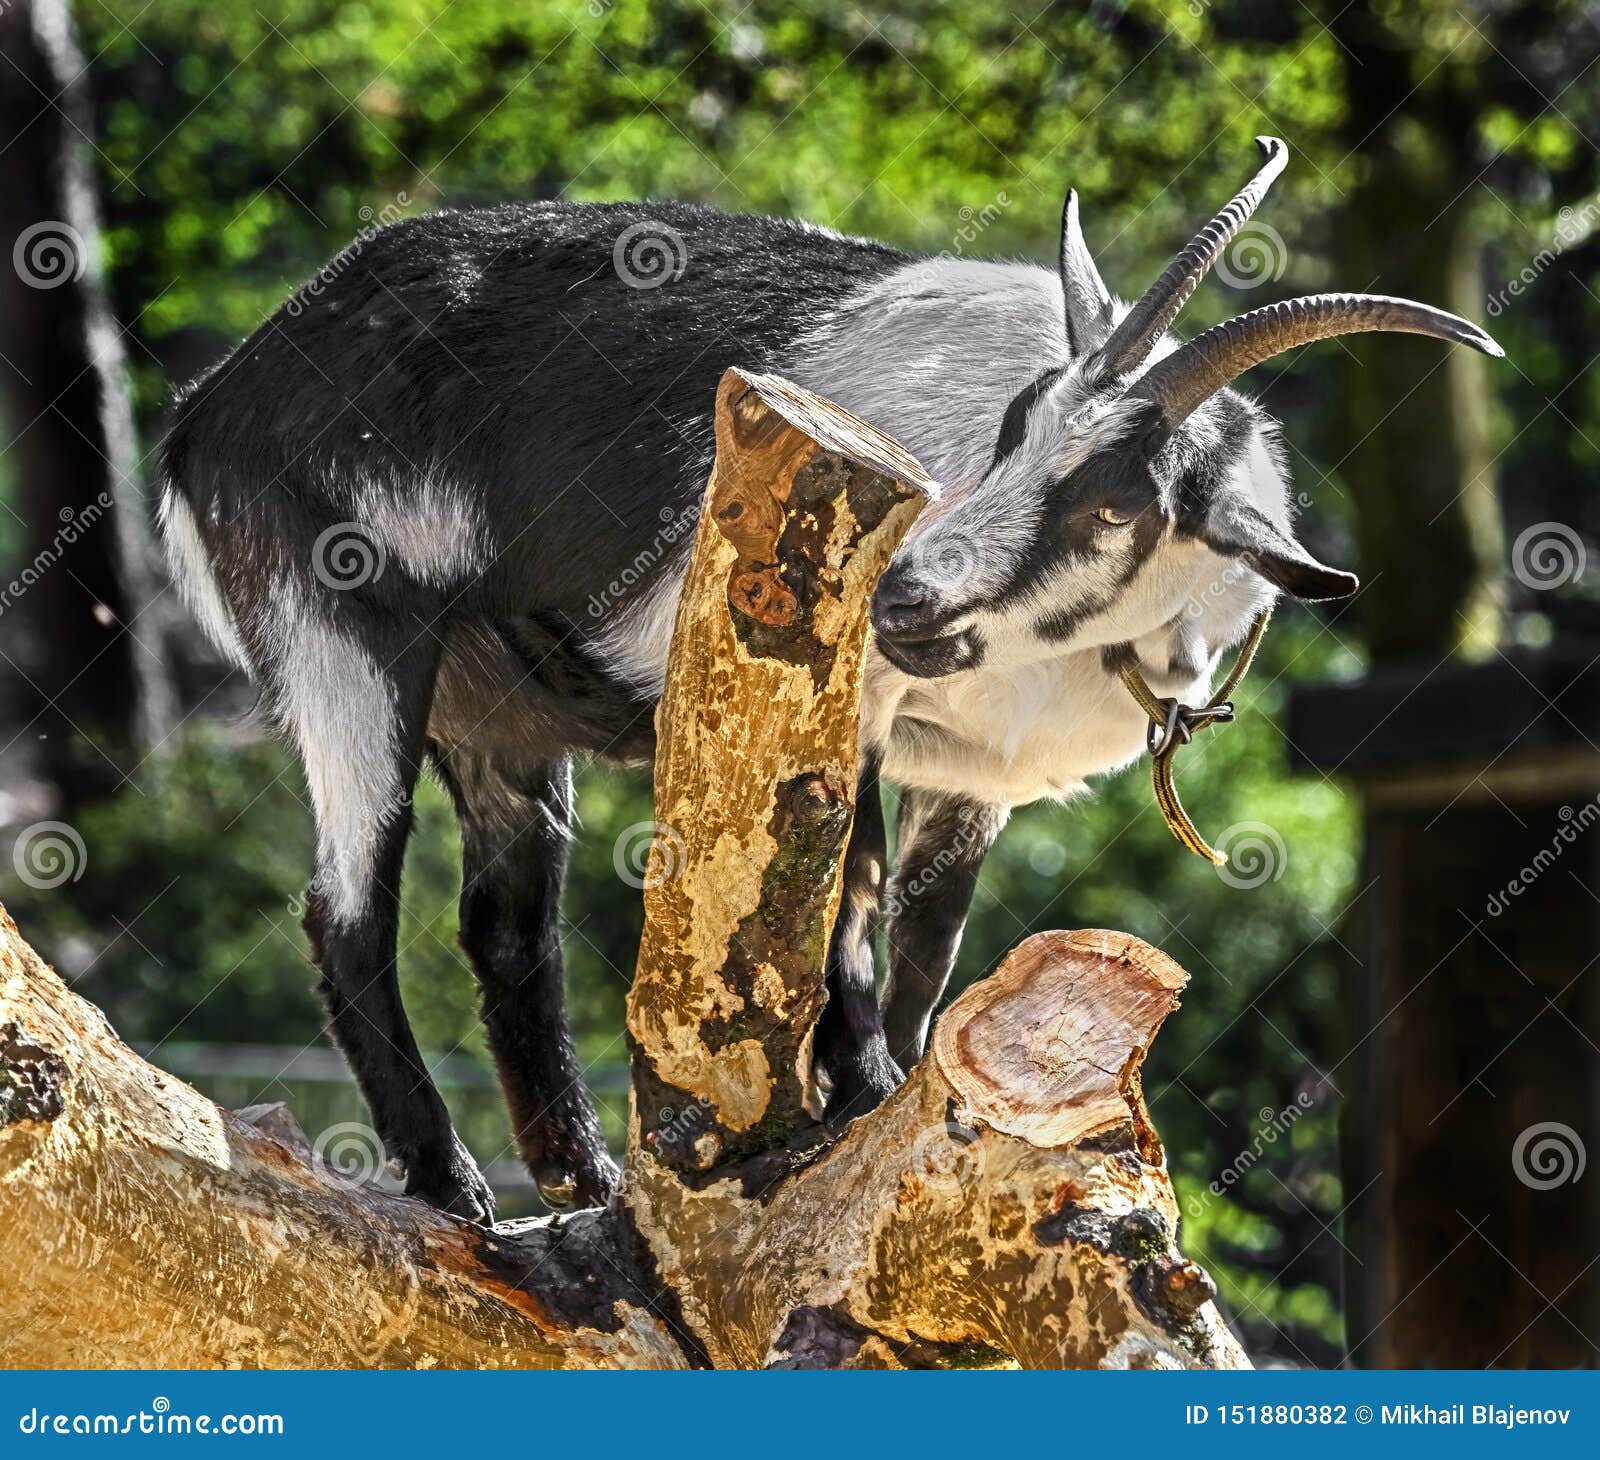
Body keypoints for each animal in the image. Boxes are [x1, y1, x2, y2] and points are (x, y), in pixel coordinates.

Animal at [158, 138, 1499, 1222]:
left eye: (1116, 502)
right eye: (1011, 432)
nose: (900, 597)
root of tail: (207, 410)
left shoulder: (973, 776)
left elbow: (929, 940)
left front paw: (902, 1104)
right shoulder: (854, 708)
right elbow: (848, 912)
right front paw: (854, 1094)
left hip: (495, 710)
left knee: (505, 924)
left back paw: (583, 1178)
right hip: (347, 642)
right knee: (346, 913)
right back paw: (451, 1185)